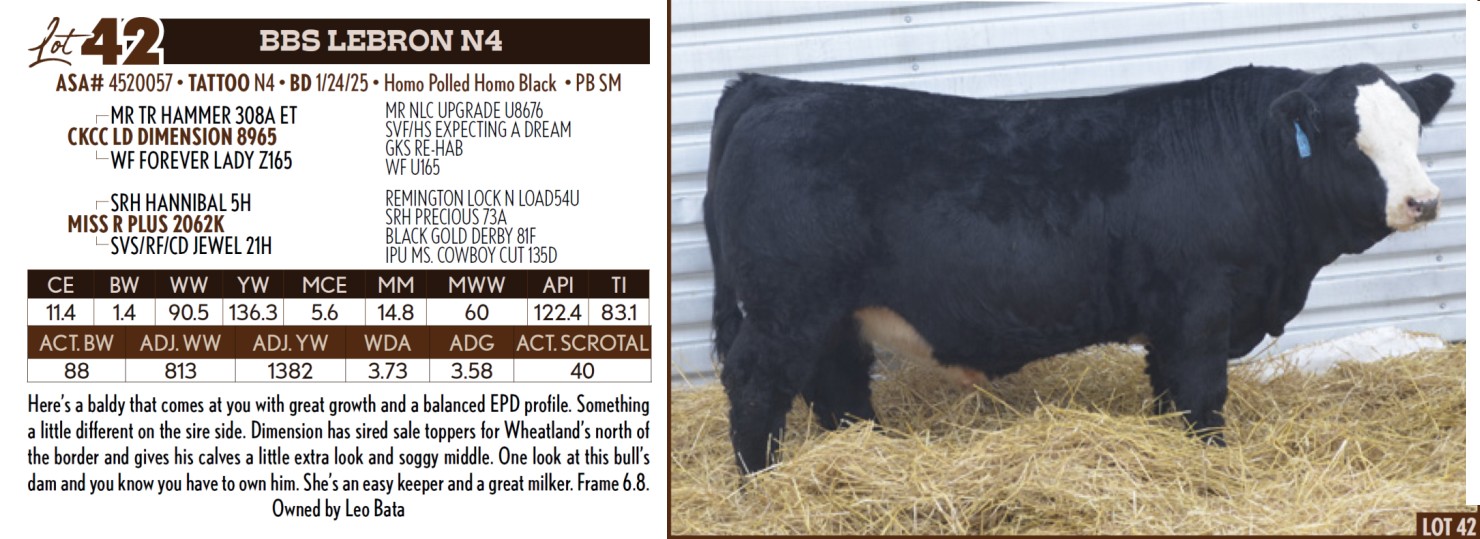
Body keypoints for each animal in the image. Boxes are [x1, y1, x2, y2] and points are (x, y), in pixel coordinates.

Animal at [702, 63, 1453, 475]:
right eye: (1350, 139)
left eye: (1415, 129)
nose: (1424, 200)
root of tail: (771, 89)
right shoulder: (1201, 310)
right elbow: (1202, 396)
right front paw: (1212, 460)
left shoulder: (1168, 322)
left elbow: (1167, 391)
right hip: (786, 307)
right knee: (756, 385)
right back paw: (760, 483)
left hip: (832, 312)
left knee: (838, 386)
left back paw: (869, 455)